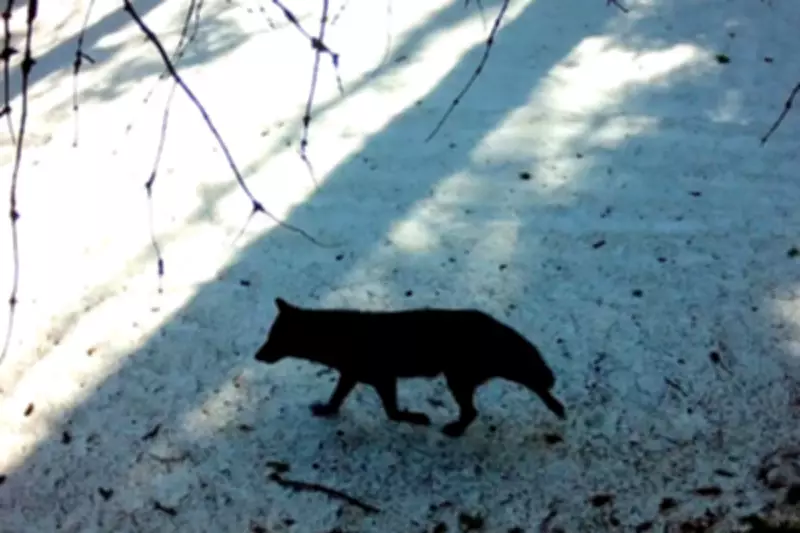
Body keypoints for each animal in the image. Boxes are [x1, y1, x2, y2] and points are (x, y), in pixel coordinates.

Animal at [254, 297, 566, 437]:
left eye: (273, 338)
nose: (256, 356)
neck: (340, 337)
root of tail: (493, 324)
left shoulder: (384, 379)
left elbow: (393, 413)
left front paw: (417, 418)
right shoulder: (353, 376)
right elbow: (336, 399)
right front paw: (325, 411)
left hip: (458, 379)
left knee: (478, 409)